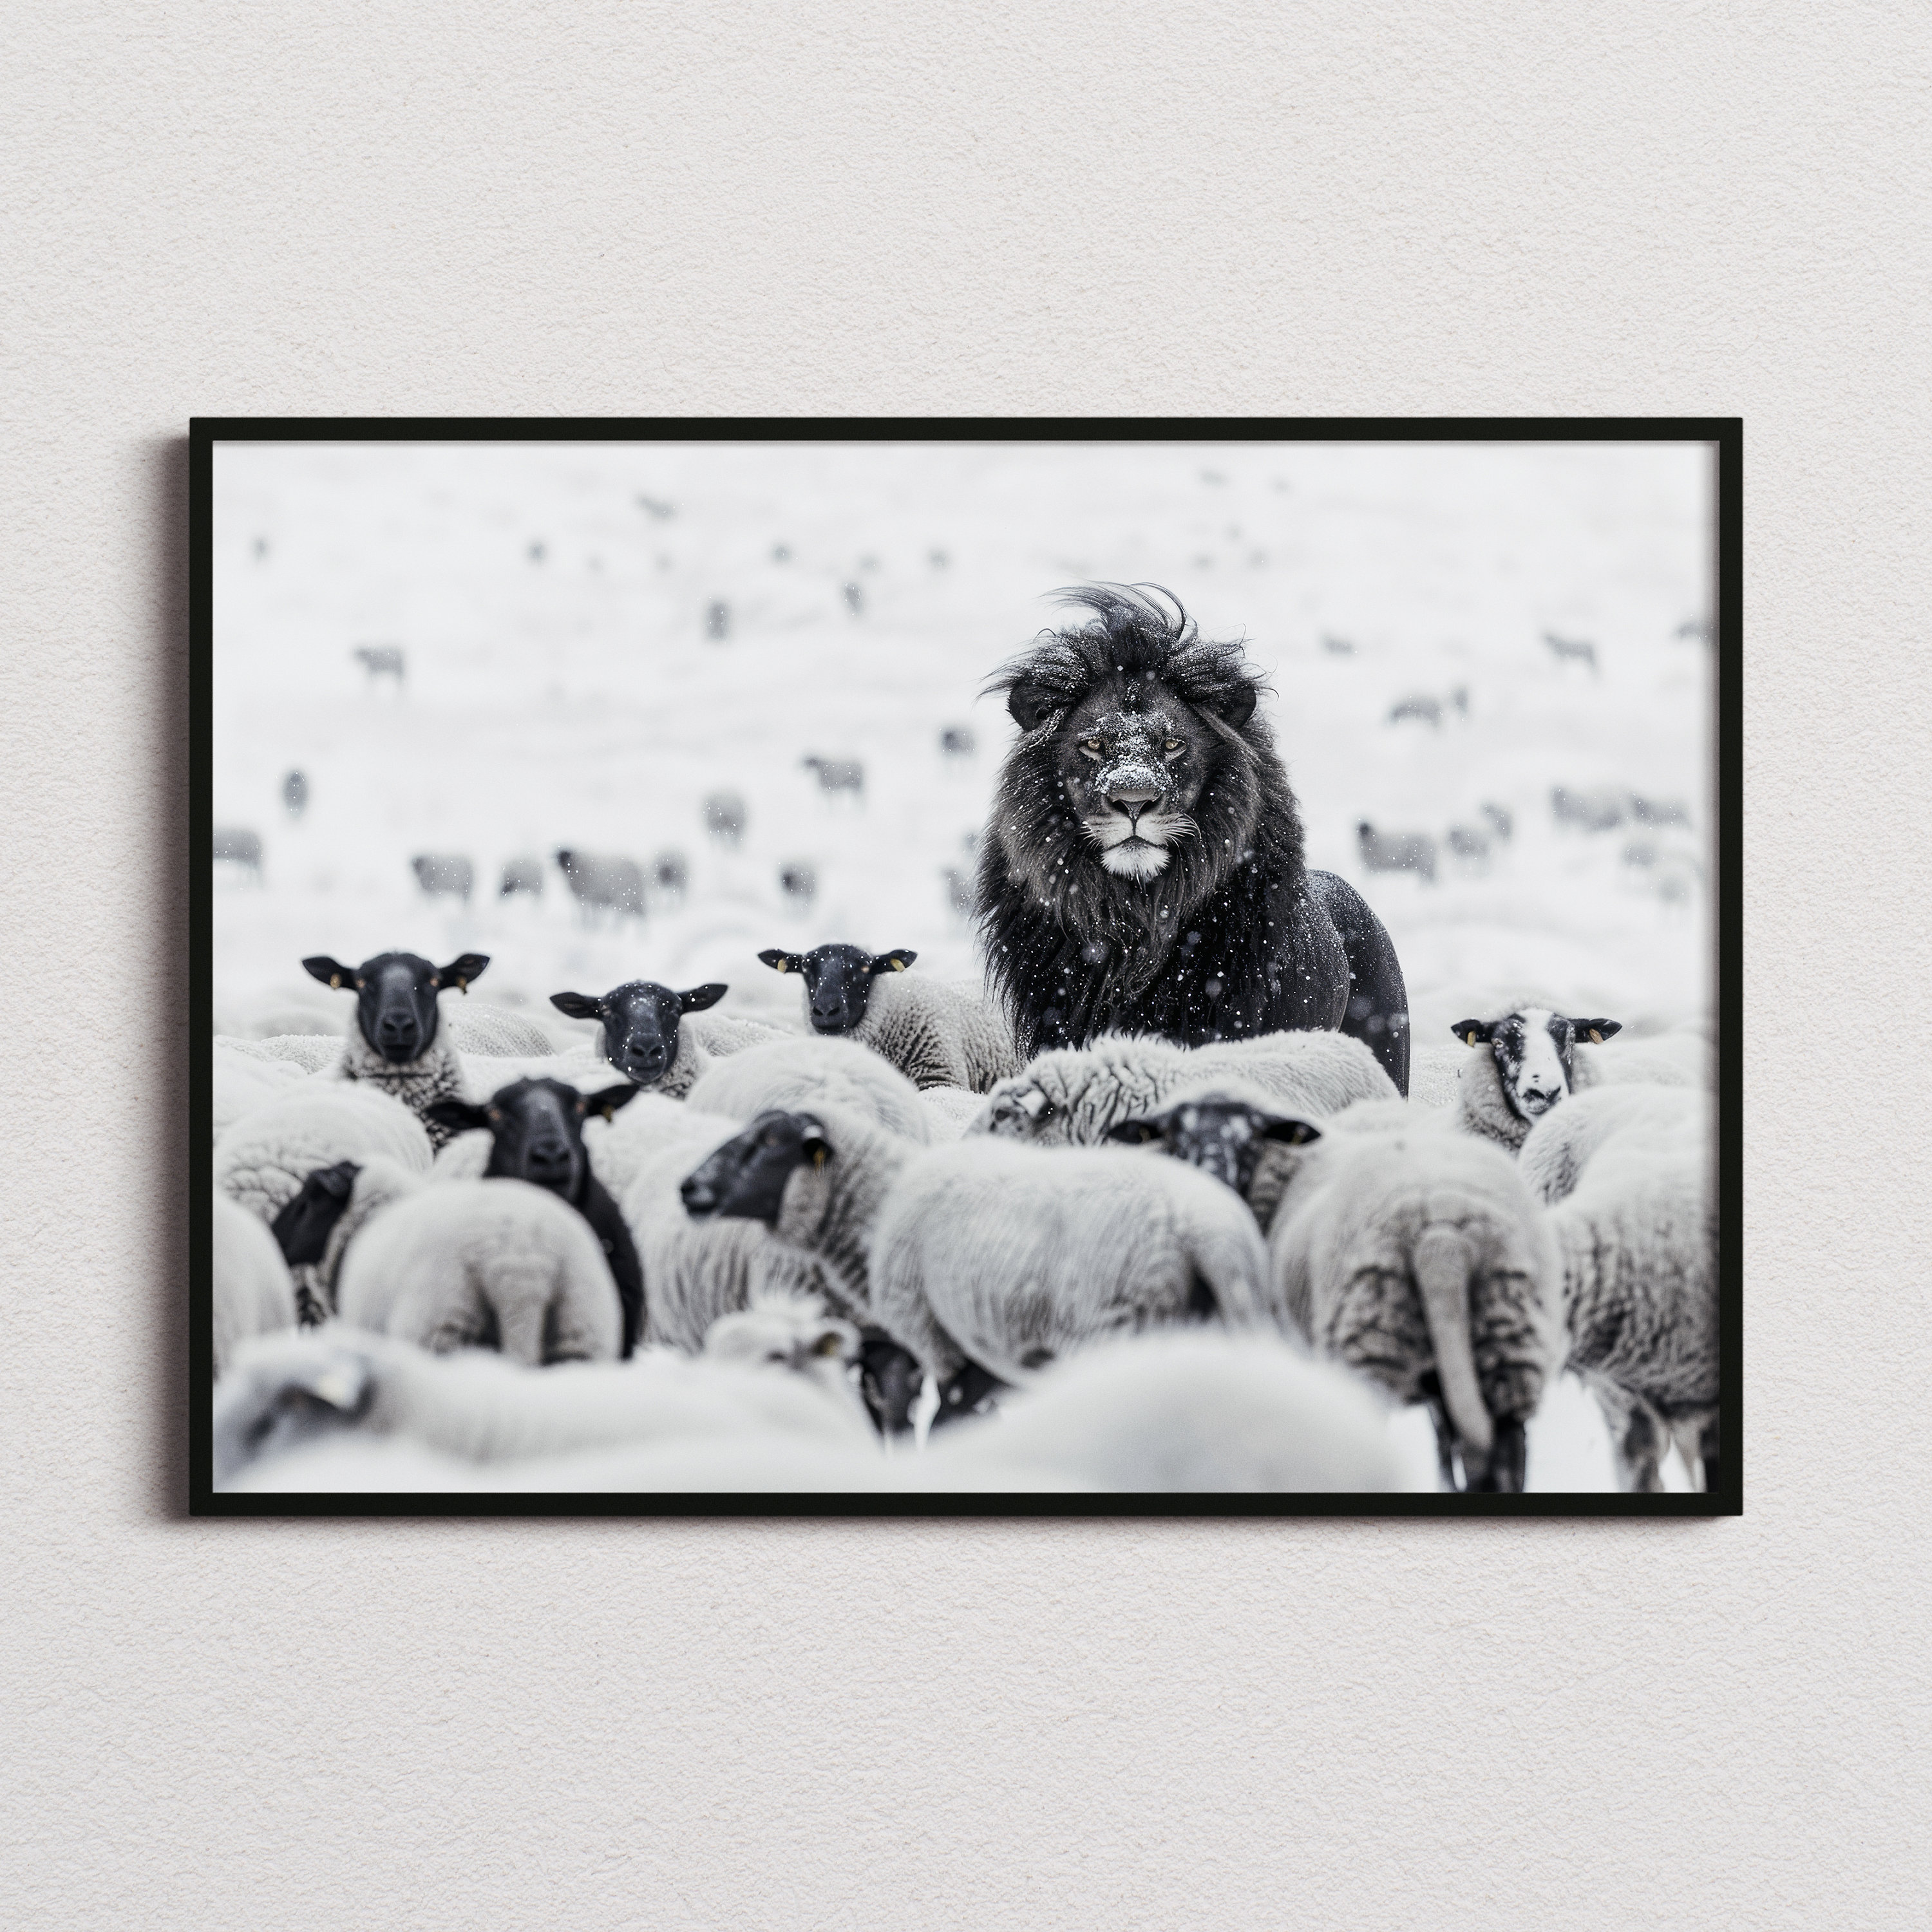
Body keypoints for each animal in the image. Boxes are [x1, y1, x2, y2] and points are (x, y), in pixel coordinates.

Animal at [555, 848, 646, 925]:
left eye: (566, 856)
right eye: (559, 857)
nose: (563, 865)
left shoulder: (591, 895)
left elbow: (589, 913)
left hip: (624, 896)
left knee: (623, 914)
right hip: (635, 898)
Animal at [680, 1103, 1280, 1430]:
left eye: (770, 1142)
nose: (688, 1188)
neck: (881, 1201)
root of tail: (1204, 1228)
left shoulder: (937, 1342)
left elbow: (934, 1422)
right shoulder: (988, 1359)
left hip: (1117, 1333)